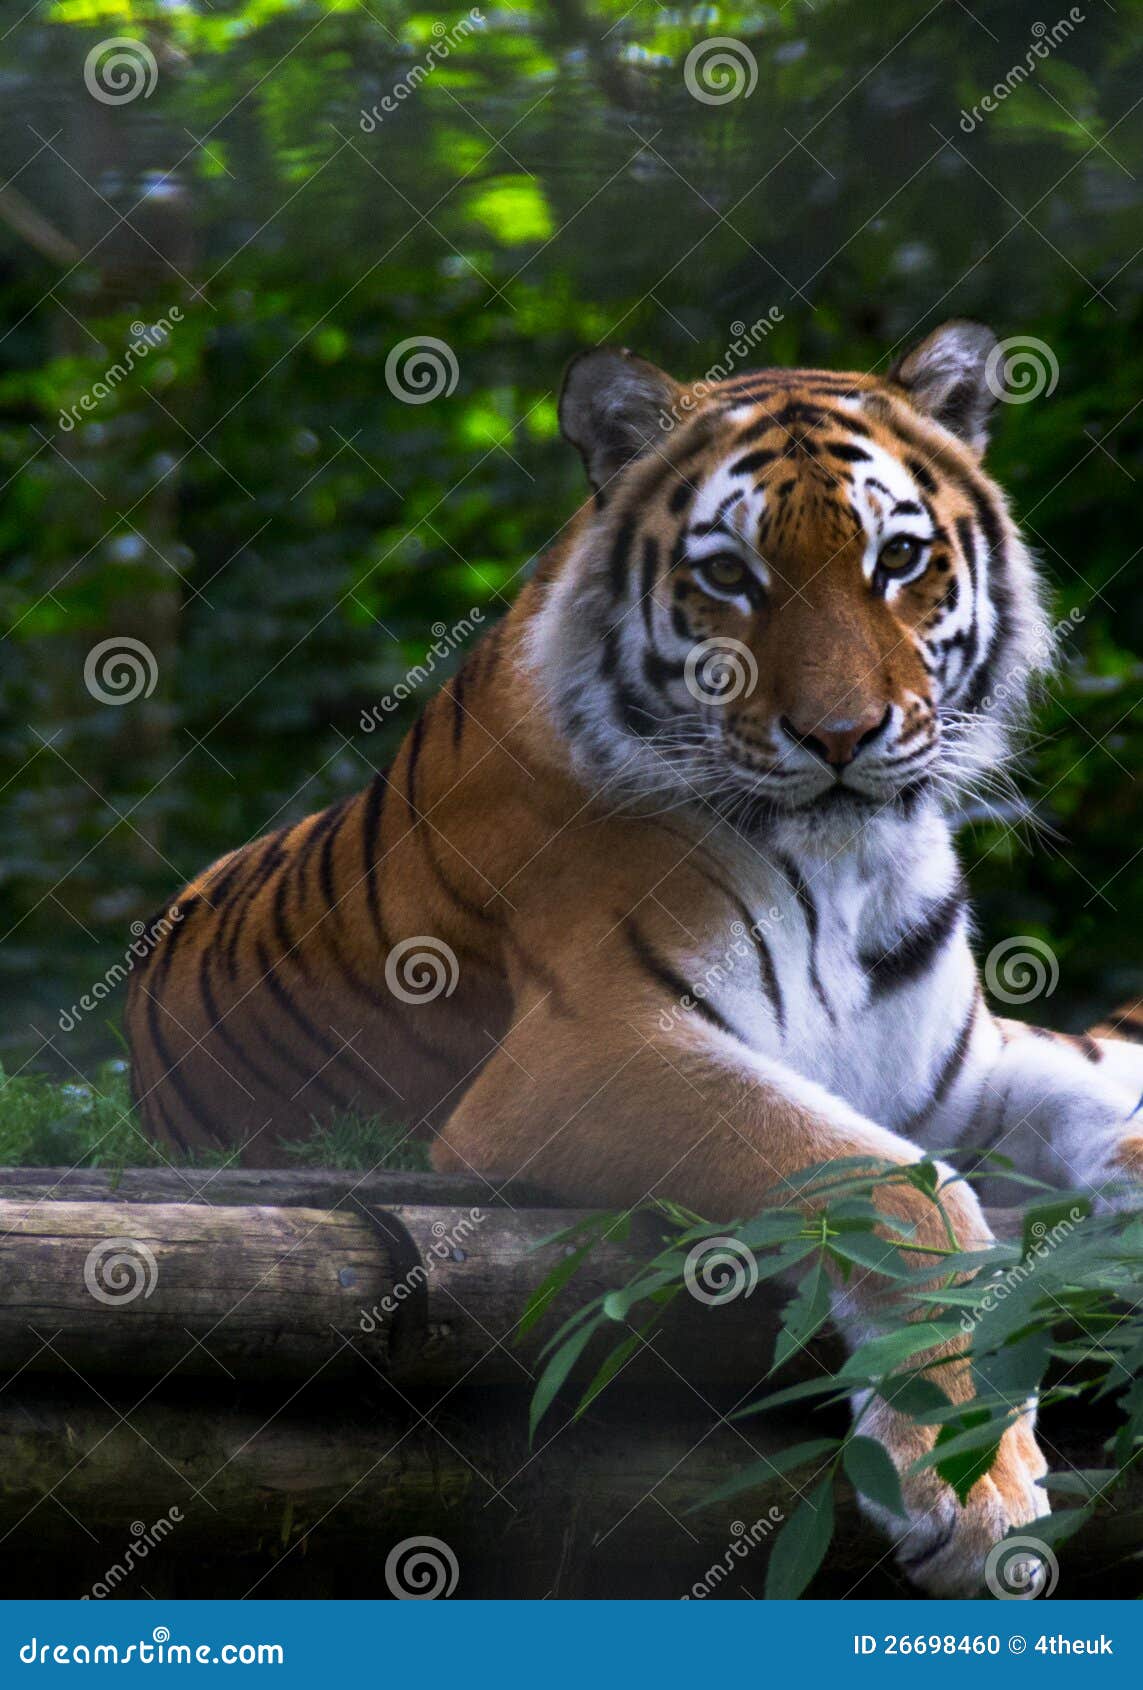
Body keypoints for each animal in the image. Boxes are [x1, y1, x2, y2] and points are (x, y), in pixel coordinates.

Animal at [126, 319, 1143, 1597]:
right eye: (730, 576)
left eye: (899, 558)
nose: (843, 736)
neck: (855, 870)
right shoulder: (585, 1049)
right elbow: (897, 1187)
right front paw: (968, 1486)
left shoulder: (956, 1068)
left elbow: (1098, 1102)